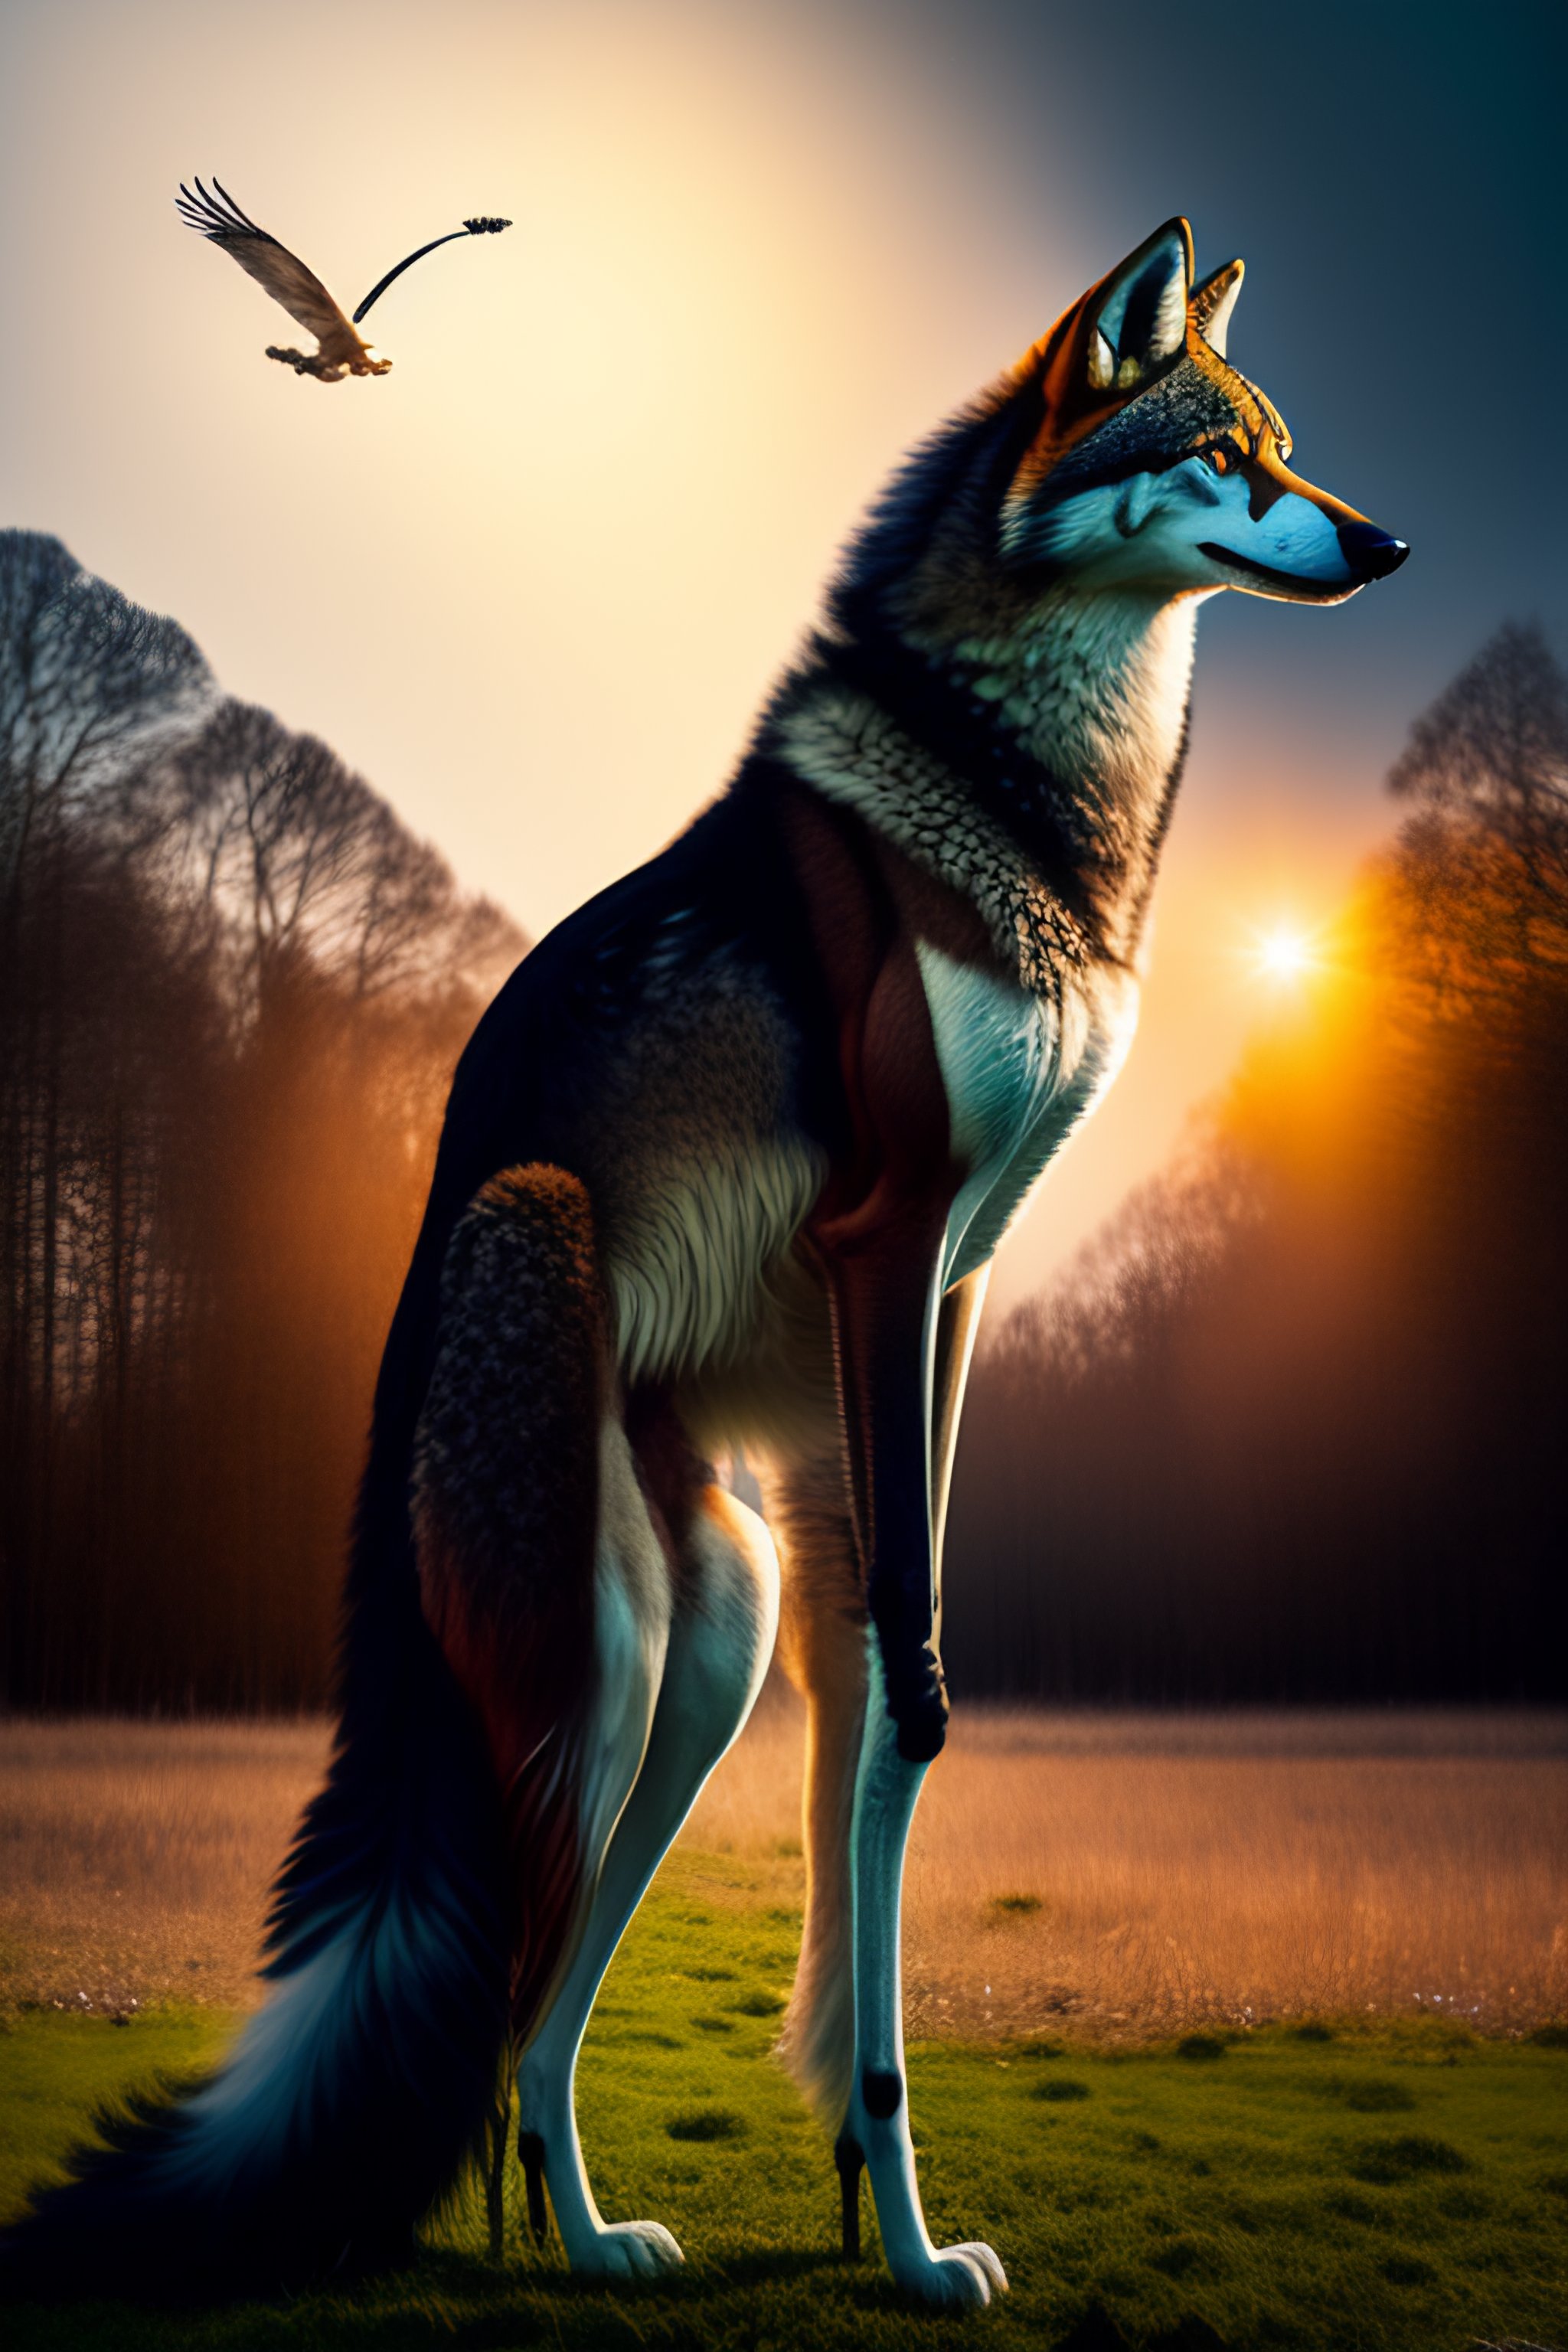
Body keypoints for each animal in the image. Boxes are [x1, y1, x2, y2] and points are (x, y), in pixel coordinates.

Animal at [8, 219, 1405, 2309]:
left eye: (1288, 449)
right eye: (1224, 456)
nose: (1384, 542)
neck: (1024, 800)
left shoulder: (953, 1291)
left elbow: (884, 1715)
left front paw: (875, 2193)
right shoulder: (886, 1235)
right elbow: (911, 1699)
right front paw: (889, 2215)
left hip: (710, 1628)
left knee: (538, 2002)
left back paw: (586, 2231)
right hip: (591, 1620)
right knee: (505, 1963)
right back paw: (550, 2231)